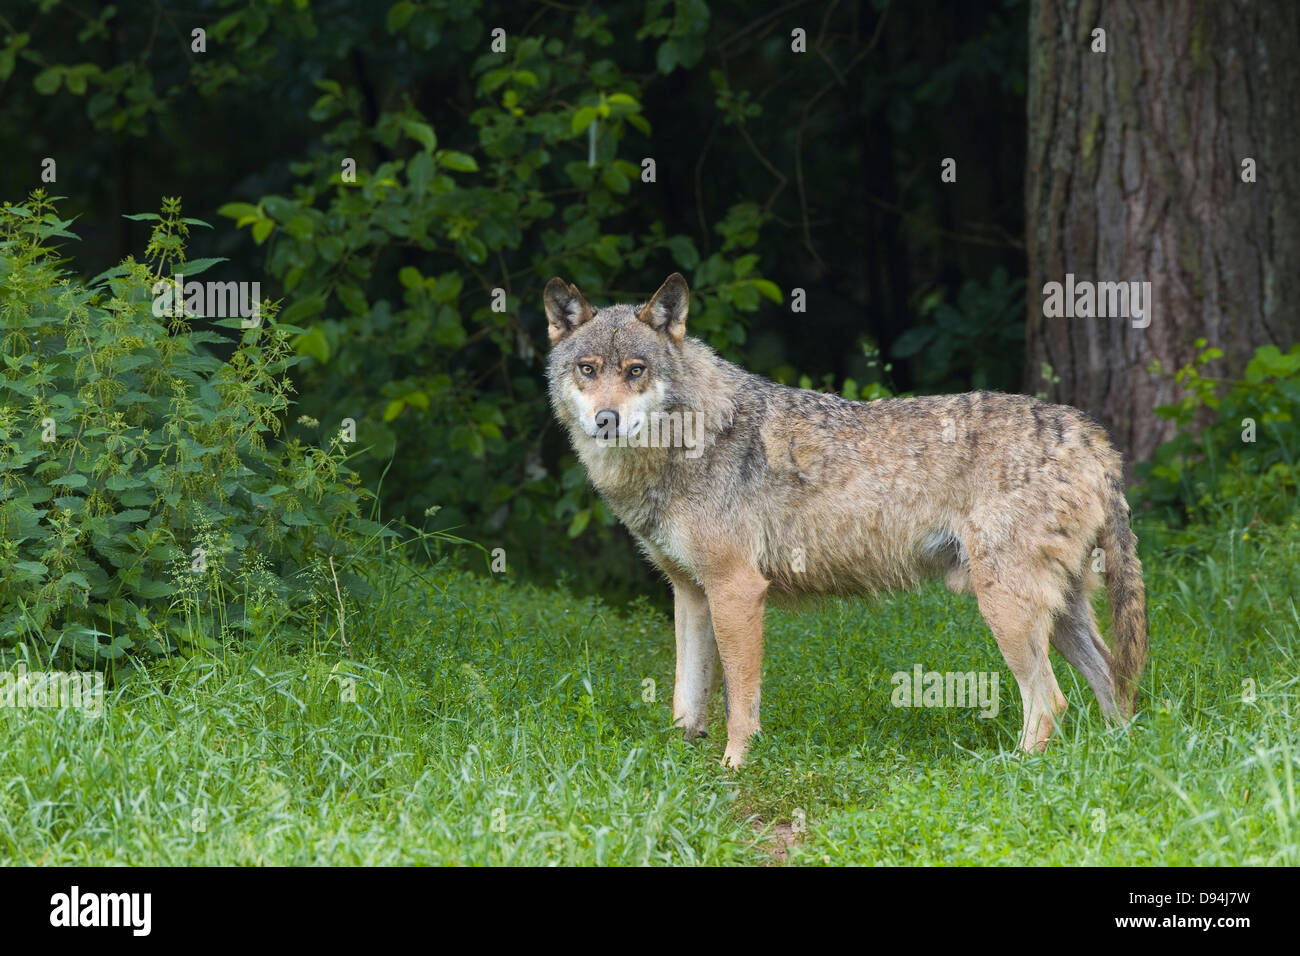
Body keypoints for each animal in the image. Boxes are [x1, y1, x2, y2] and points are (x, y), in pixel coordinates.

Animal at [545, 273, 1148, 767]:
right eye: (588, 370)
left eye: (636, 371)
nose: (605, 419)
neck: (686, 442)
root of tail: (1088, 433)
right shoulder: (691, 593)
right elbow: (684, 699)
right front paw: (676, 766)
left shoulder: (737, 590)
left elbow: (740, 701)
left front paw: (734, 770)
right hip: (1058, 615)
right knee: (1114, 686)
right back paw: (1117, 762)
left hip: (1006, 608)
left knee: (1051, 702)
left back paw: (1011, 771)